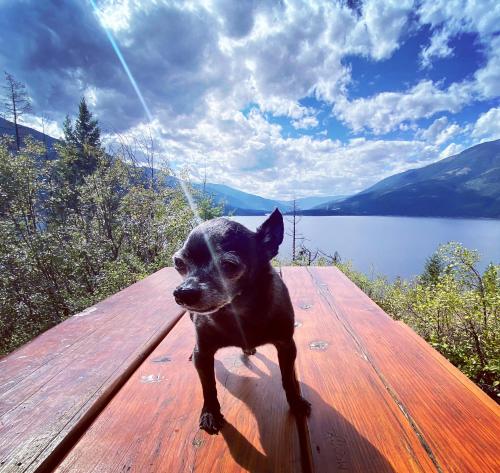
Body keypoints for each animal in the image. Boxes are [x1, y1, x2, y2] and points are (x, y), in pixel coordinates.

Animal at [172, 208, 311, 434]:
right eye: (179, 263)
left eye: (228, 265)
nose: (183, 292)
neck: (238, 312)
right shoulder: (204, 353)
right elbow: (208, 386)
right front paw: (210, 412)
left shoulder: (286, 346)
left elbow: (288, 378)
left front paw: (296, 402)